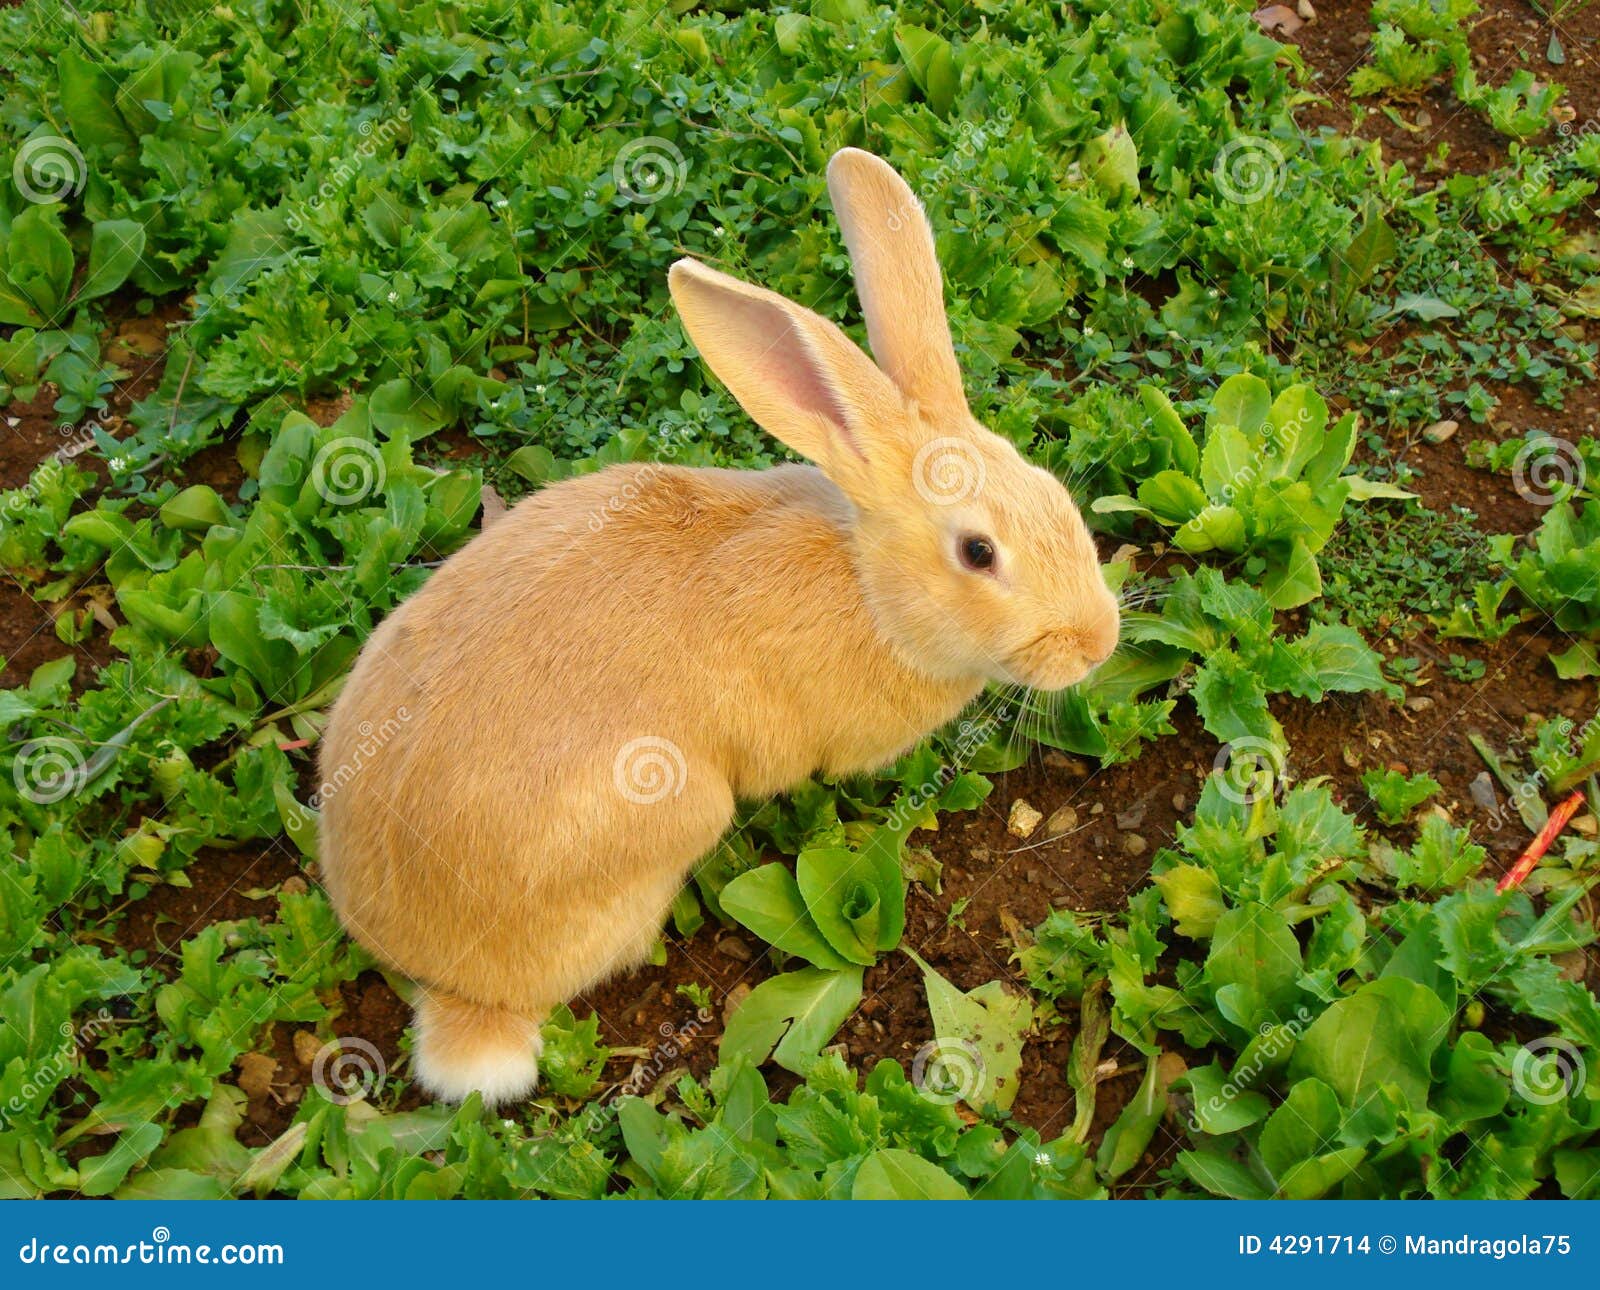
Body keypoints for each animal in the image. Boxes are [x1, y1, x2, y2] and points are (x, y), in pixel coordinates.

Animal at [317, 148, 1121, 1107]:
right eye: (977, 552)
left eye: (1051, 488)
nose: (1098, 644)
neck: (870, 585)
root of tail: (443, 976)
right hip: (675, 814)